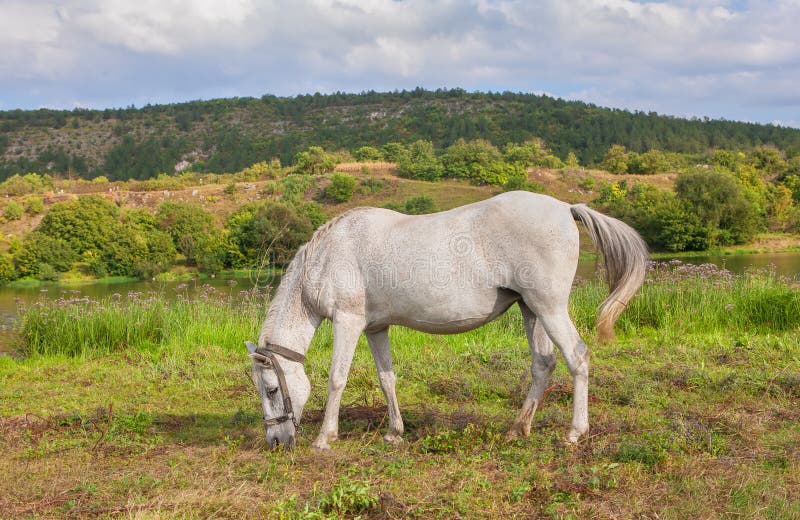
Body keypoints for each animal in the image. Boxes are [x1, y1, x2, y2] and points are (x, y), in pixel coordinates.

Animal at [245, 191, 648, 450]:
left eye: (271, 389)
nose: (276, 442)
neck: (328, 255)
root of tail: (566, 208)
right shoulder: (376, 328)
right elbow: (386, 378)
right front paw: (394, 432)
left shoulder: (348, 321)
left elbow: (336, 379)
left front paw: (324, 438)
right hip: (531, 309)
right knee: (543, 364)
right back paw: (518, 429)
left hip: (549, 307)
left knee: (577, 357)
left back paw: (575, 433)